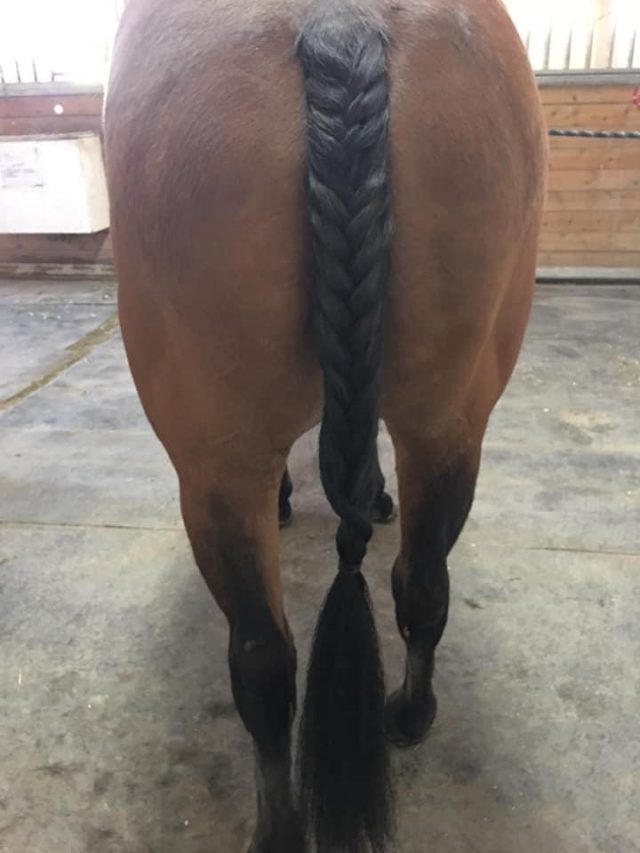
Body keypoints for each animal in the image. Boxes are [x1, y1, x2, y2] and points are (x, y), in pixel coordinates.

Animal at [104, 0, 547, 849]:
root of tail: (339, 22)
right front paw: (372, 497)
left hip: (218, 468)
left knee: (264, 662)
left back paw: (280, 823)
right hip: (448, 426)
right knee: (421, 586)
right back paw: (410, 713)